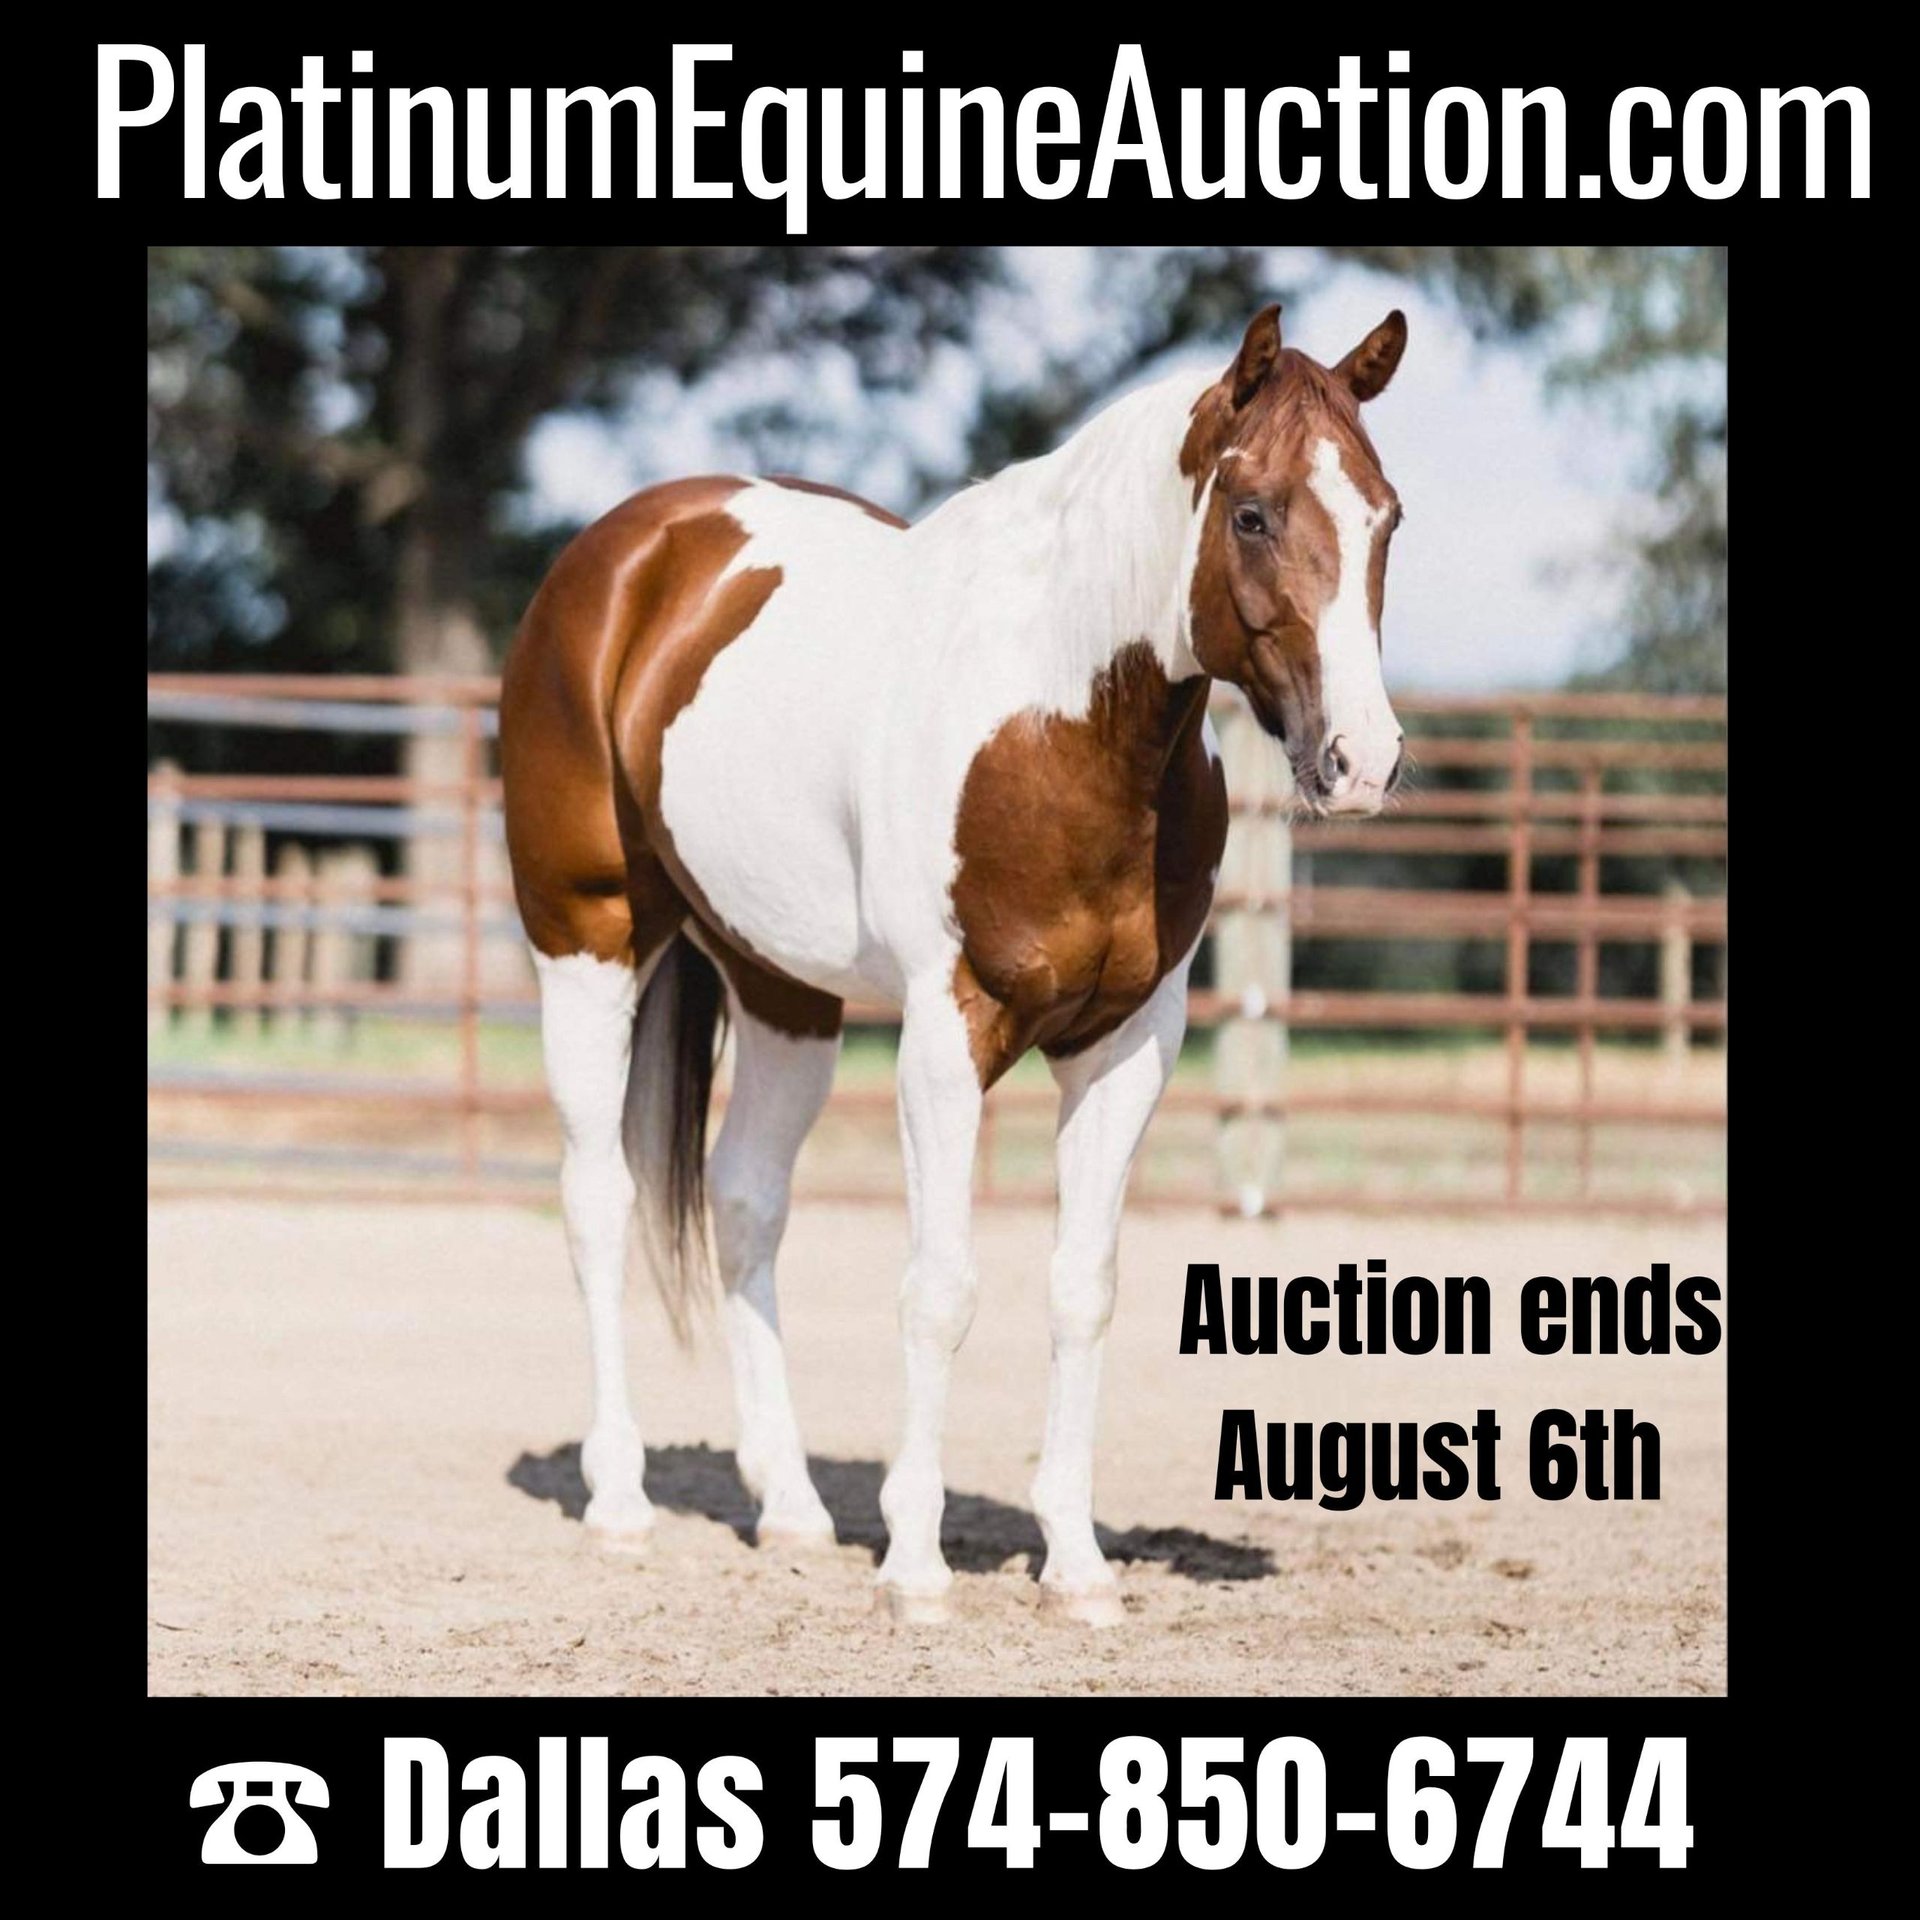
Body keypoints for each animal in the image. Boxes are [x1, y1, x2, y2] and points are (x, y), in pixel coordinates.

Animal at [499, 302, 1409, 1624]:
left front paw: (1075, 1566)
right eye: (1253, 514)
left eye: (1386, 514)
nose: (1362, 762)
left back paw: (790, 1508)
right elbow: (940, 1291)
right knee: (597, 1200)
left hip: (783, 992)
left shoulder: (1127, 1047)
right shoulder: (946, 1037)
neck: (1060, 721)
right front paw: (918, 1567)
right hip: (590, 945)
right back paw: (618, 1498)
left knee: (744, 1203)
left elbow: (1082, 1289)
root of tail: (629, 553)